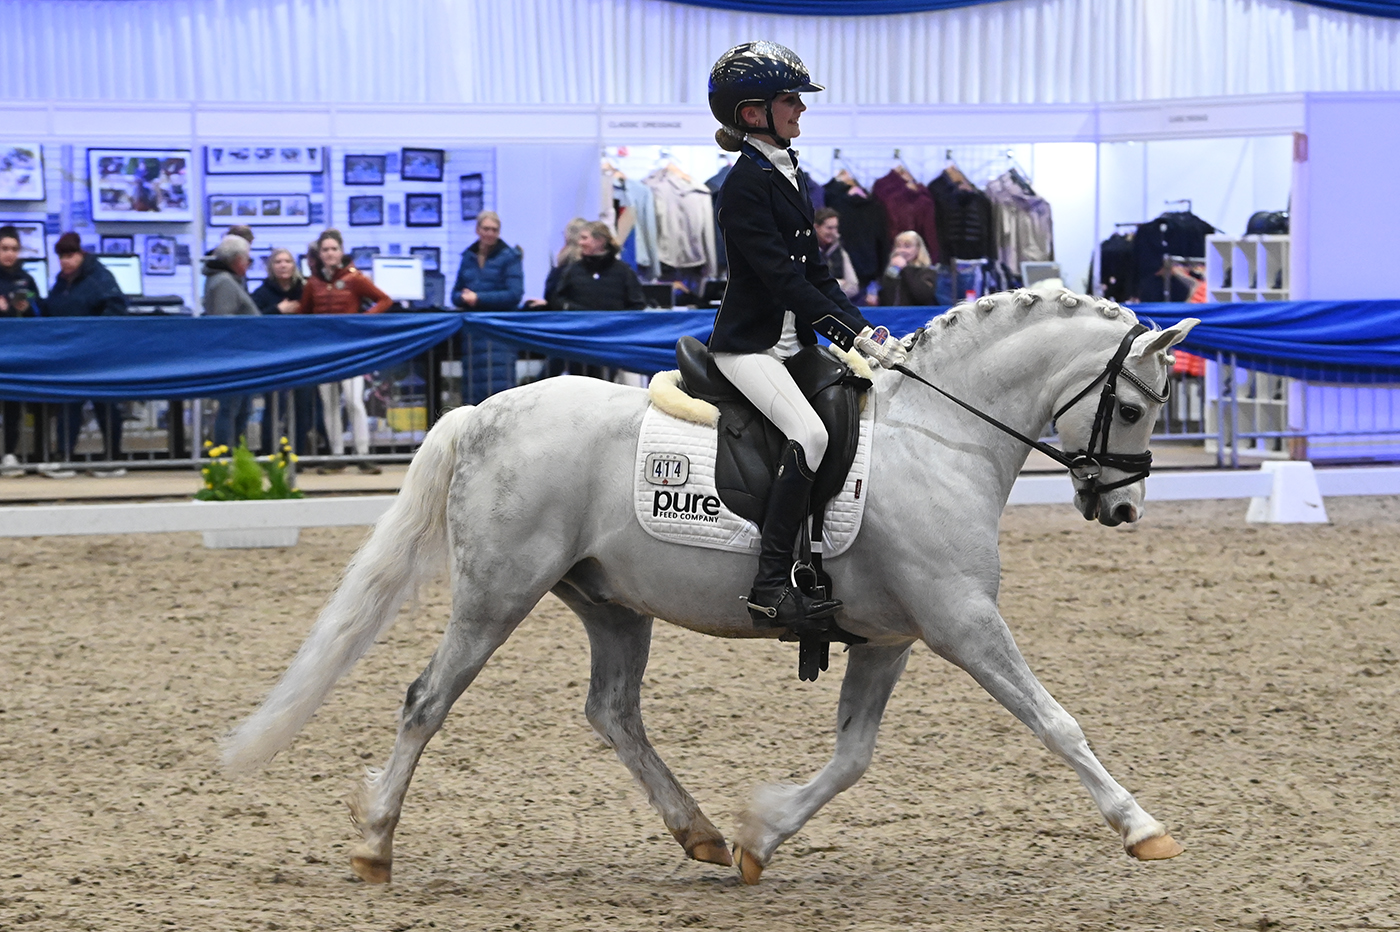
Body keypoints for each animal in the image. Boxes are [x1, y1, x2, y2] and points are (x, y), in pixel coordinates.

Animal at [222, 288, 1199, 885]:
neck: (940, 434)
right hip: (498, 595)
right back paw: (373, 845)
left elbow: (853, 756)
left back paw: (695, 830)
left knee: (612, 712)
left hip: (611, 604)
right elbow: (1057, 722)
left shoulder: (890, 638)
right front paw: (1142, 827)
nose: (1121, 509)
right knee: (427, 699)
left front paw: (760, 836)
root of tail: (484, 411)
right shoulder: (963, 622)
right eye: (1135, 406)